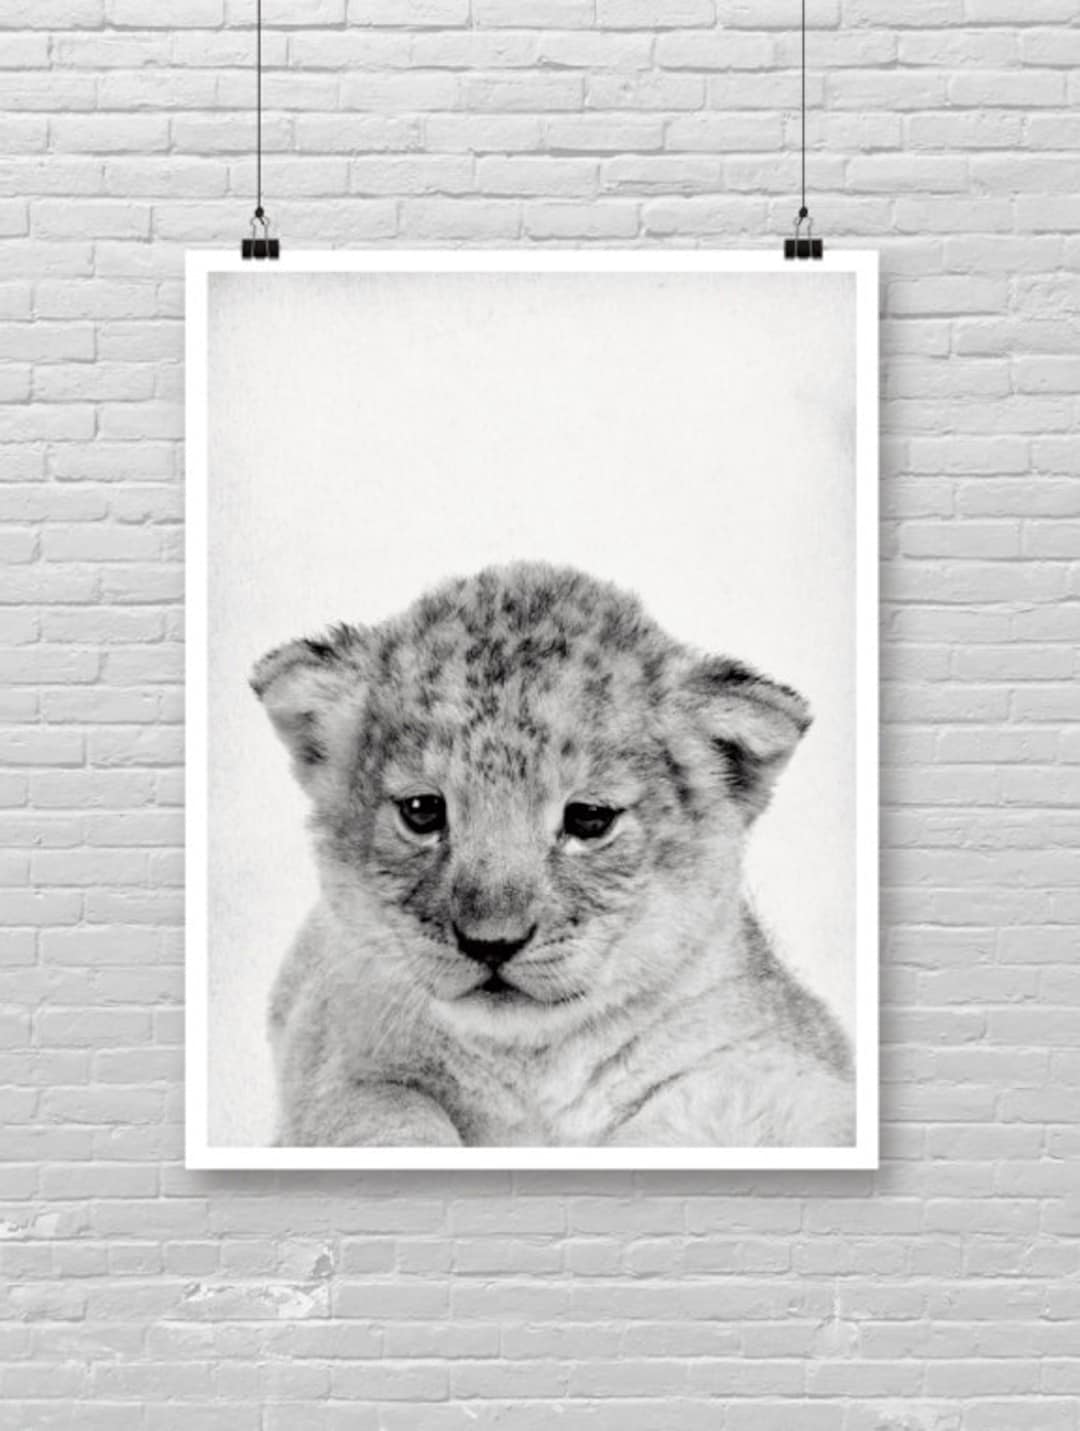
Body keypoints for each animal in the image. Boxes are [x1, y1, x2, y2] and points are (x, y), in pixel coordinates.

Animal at [252, 563, 853, 1148]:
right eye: (422, 811)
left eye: (589, 818)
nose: (491, 944)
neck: (534, 1065)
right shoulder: (335, 1061)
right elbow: (386, 1111)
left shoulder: (793, 1066)